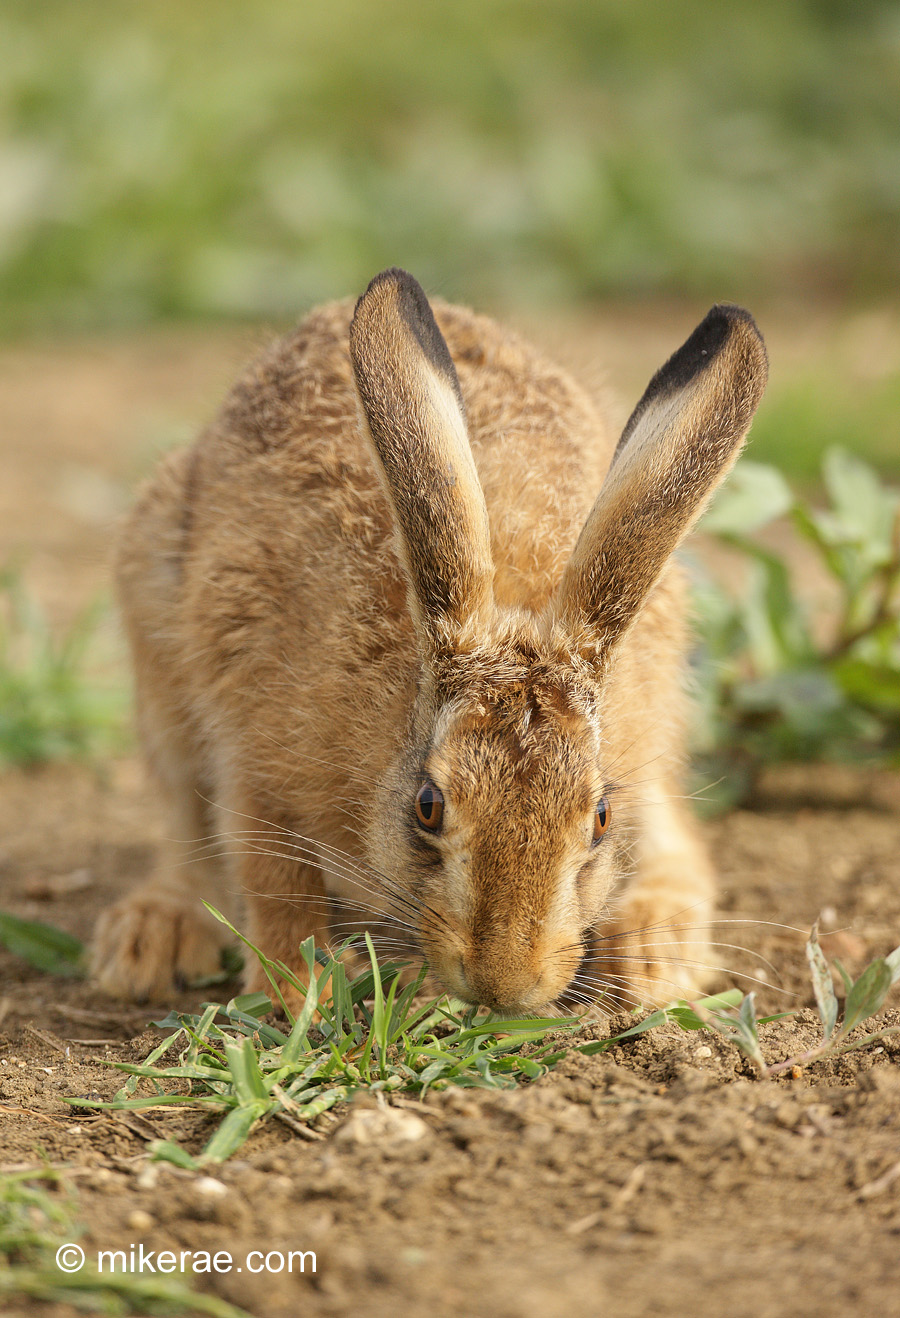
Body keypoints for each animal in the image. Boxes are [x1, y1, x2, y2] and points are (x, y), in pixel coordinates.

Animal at [93, 267, 767, 1015]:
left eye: (598, 817)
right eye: (429, 806)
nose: (506, 984)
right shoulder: (256, 756)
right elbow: (275, 886)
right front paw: (298, 995)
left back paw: (654, 951)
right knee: (183, 819)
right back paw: (153, 937)